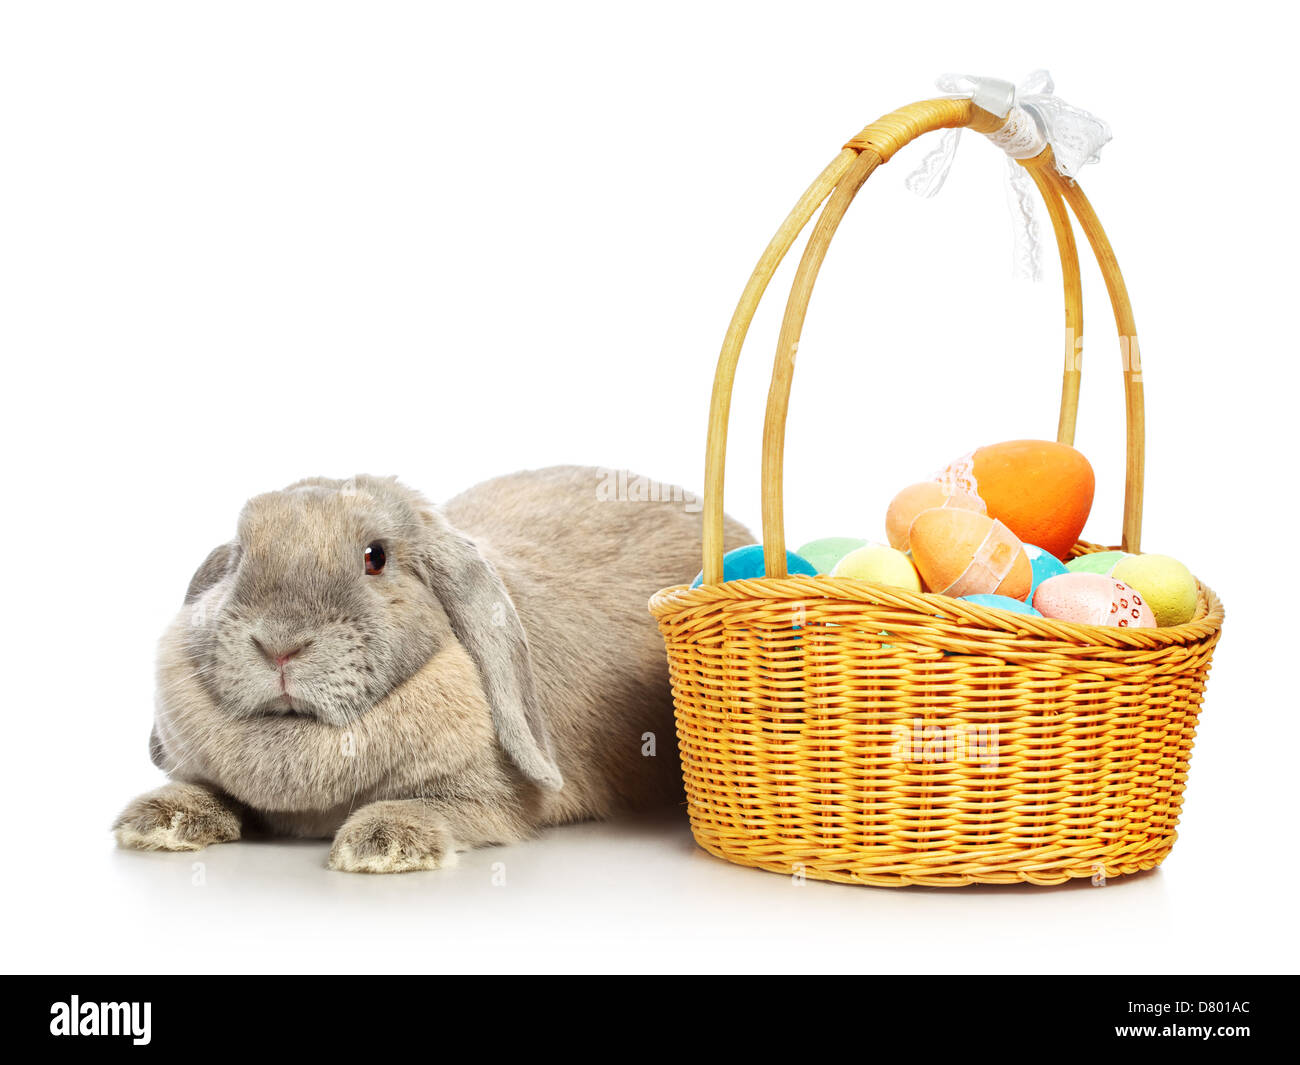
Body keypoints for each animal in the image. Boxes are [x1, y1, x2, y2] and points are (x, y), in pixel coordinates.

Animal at [112, 465, 753, 872]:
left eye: (375, 557)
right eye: (240, 555)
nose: (279, 645)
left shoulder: (492, 801)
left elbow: (437, 808)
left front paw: (381, 846)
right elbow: (208, 790)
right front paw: (155, 821)